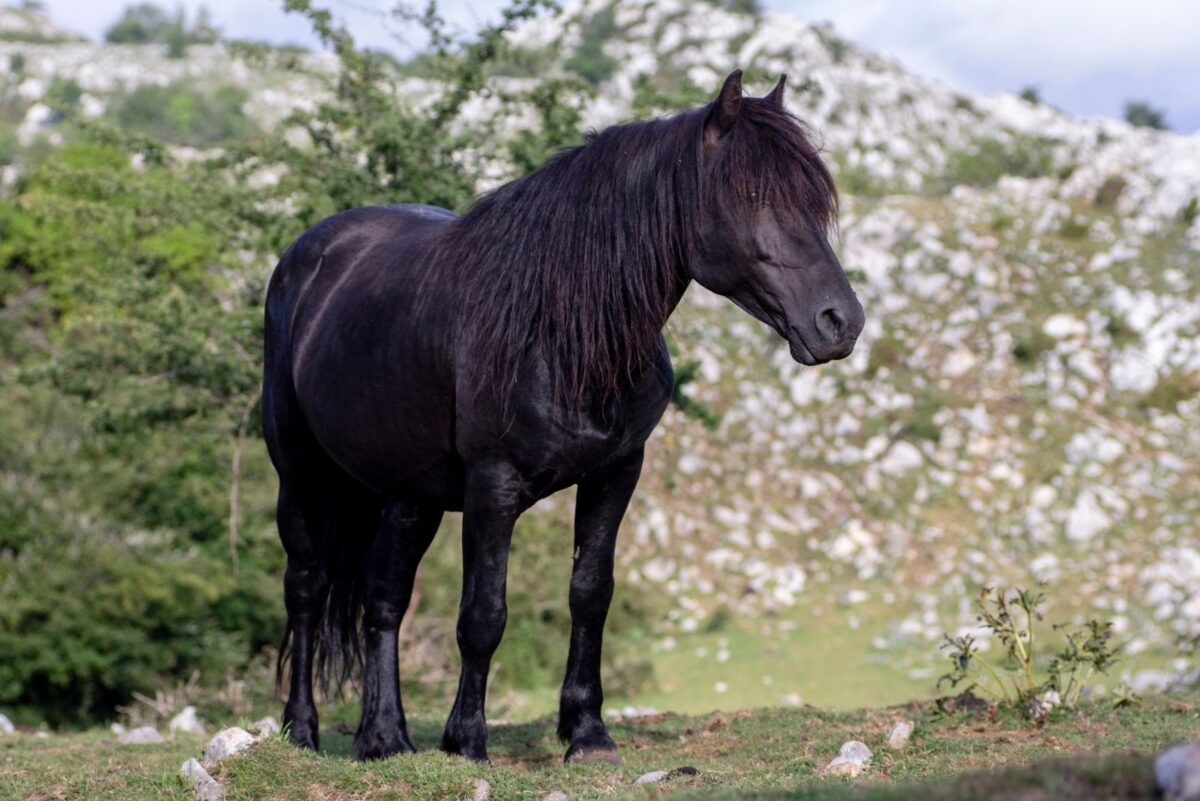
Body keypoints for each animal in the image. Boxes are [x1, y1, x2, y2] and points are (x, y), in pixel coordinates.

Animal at [262, 69, 864, 765]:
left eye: (815, 202)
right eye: (751, 196)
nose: (840, 322)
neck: (558, 330)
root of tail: (312, 253)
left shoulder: (616, 474)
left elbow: (590, 595)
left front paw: (587, 732)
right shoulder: (493, 486)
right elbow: (484, 614)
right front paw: (467, 741)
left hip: (407, 494)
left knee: (384, 598)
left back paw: (385, 737)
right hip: (300, 473)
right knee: (306, 588)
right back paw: (302, 730)